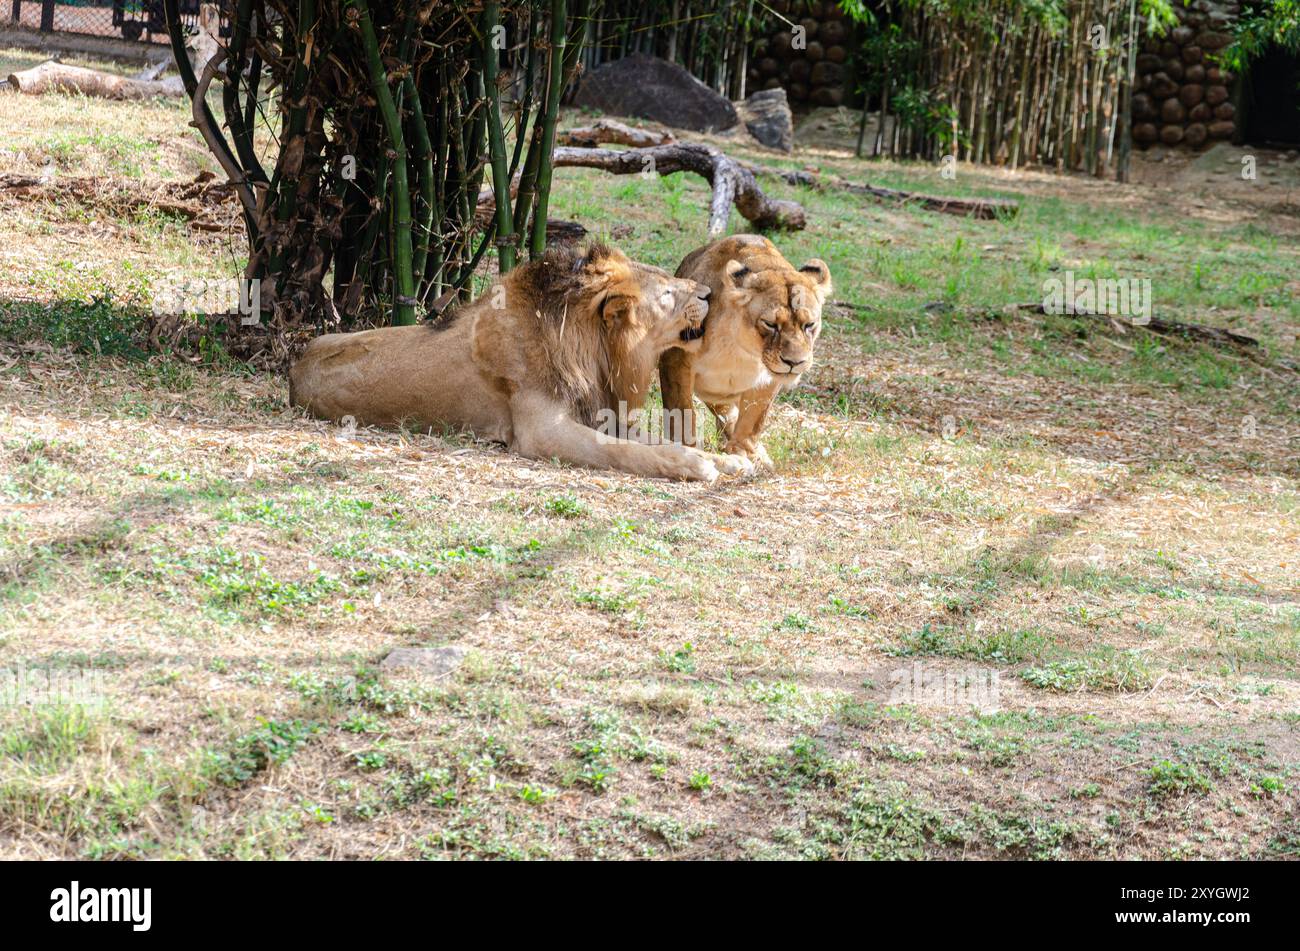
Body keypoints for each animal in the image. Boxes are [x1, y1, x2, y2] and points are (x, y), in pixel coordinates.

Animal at [289, 243, 751, 481]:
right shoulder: (543, 432)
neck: (592, 350)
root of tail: (296, 366)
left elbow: (656, 441)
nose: (708, 293)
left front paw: (729, 461)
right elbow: (626, 452)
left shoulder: (595, 411)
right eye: (668, 294)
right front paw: (696, 465)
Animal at [658, 235, 832, 467]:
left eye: (809, 324)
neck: (741, 349)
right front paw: (687, 449)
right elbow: (681, 412)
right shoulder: (674, 359)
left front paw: (744, 452)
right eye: (770, 324)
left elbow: (754, 418)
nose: (794, 362)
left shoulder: (768, 379)